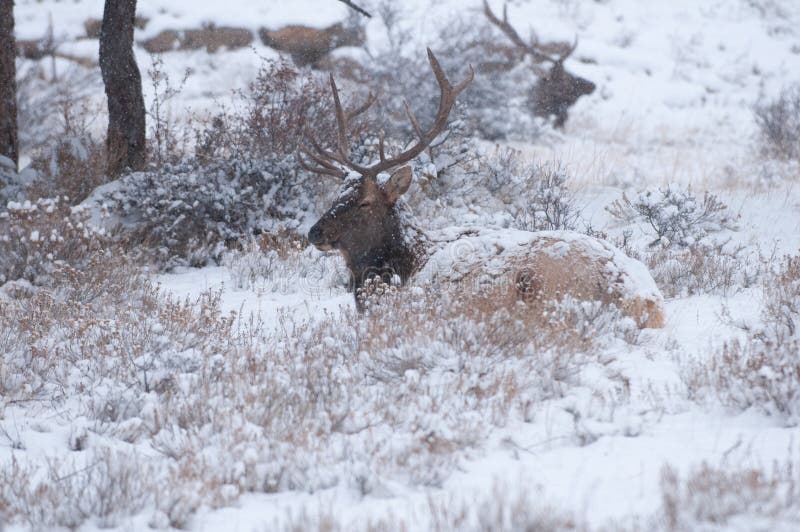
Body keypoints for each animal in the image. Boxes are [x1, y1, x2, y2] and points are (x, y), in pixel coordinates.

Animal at [301, 49, 664, 329]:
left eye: (365, 202)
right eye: (337, 194)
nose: (314, 232)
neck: (404, 265)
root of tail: (639, 295)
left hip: (543, 279)